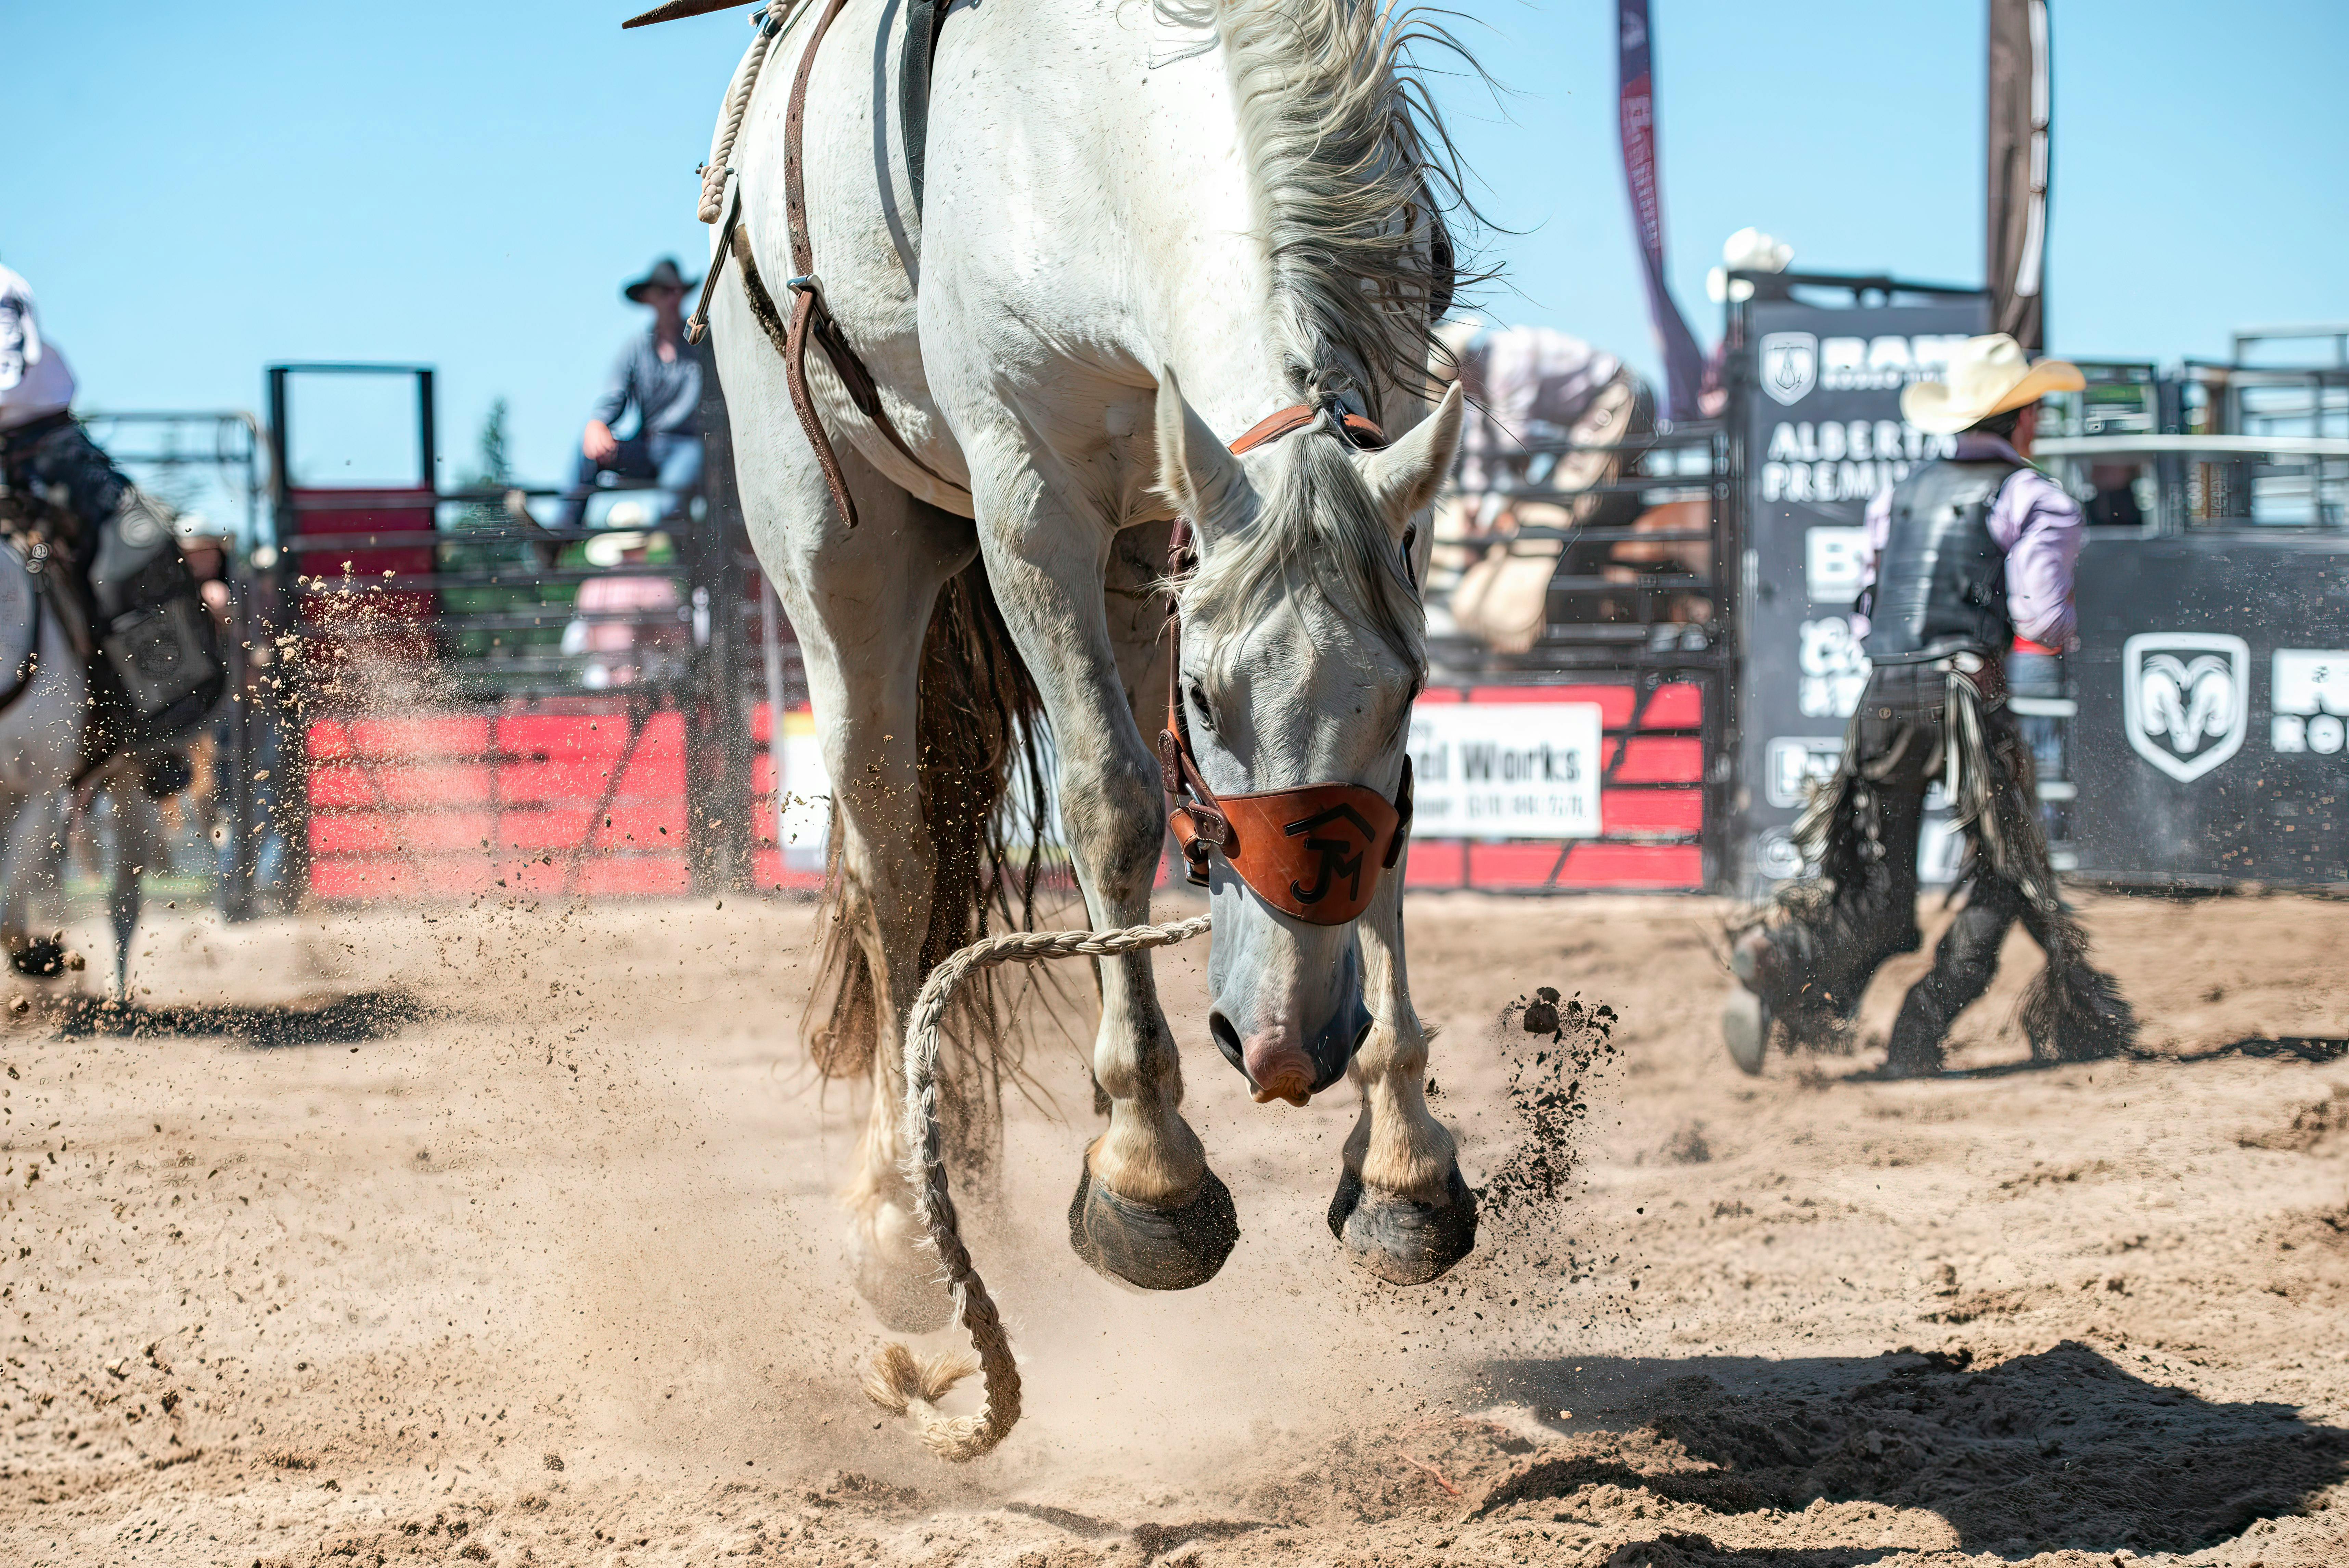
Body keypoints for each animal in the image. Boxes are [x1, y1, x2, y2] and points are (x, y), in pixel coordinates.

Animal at [697, 0, 1478, 1329]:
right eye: (1207, 694)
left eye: (1412, 689)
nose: (1286, 1050)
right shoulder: (1026, 497)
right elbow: (1110, 802)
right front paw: (1146, 1173)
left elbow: (1391, 820)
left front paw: (1401, 1162)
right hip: (833, 553)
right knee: (890, 866)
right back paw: (901, 1219)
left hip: (1137, 553)